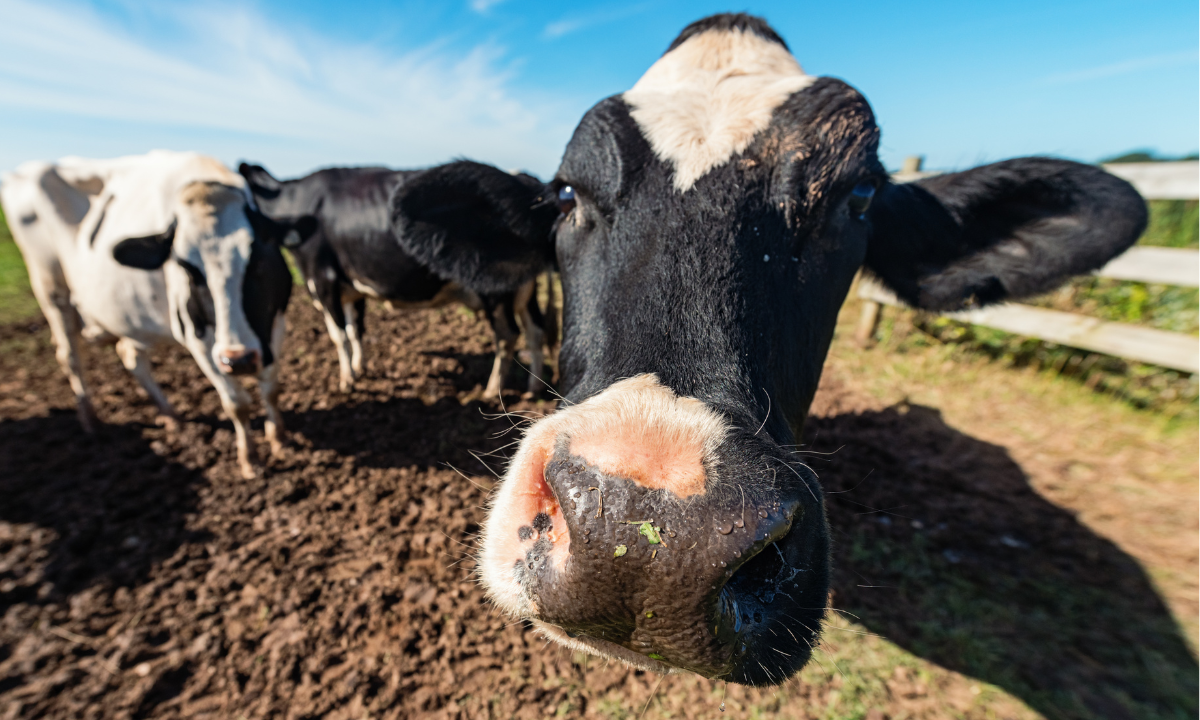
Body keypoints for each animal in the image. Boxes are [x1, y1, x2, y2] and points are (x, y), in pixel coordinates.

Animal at [0, 150, 295, 480]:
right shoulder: (199, 342)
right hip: (51, 289)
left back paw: (171, 416)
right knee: (70, 356)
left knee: (130, 355)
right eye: (186, 268)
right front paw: (250, 460)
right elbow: (236, 404)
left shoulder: (274, 324)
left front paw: (279, 440)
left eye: (258, 259)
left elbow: (270, 389)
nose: (238, 359)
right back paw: (91, 421)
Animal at [237, 162, 557, 397]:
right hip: (525, 291)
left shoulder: (321, 279)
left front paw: (347, 380)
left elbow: (339, 335)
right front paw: (360, 367)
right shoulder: (352, 288)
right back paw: (534, 387)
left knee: (507, 335)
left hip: (496, 290)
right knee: (535, 329)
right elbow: (356, 330)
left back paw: (492, 391)